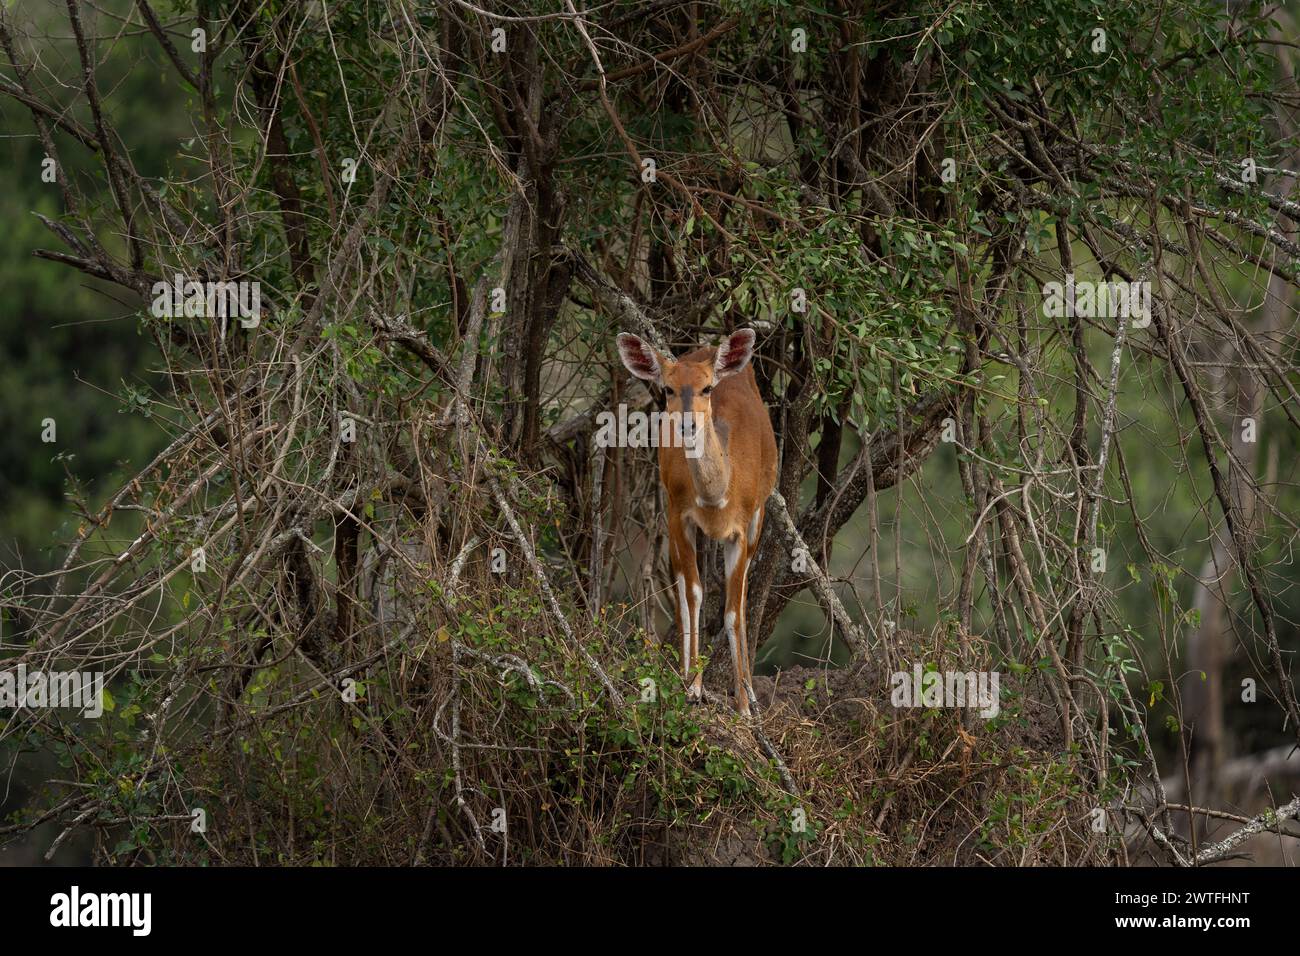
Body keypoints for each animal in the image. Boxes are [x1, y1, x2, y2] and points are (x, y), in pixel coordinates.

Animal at [617, 328, 778, 716]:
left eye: (707, 388)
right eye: (668, 389)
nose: (687, 424)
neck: (718, 497)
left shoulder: (743, 525)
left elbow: (733, 609)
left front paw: (744, 707)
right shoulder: (679, 514)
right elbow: (692, 592)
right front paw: (692, 687)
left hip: (760, 515)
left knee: (744, 596)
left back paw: (751, 692)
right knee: (681, 583)